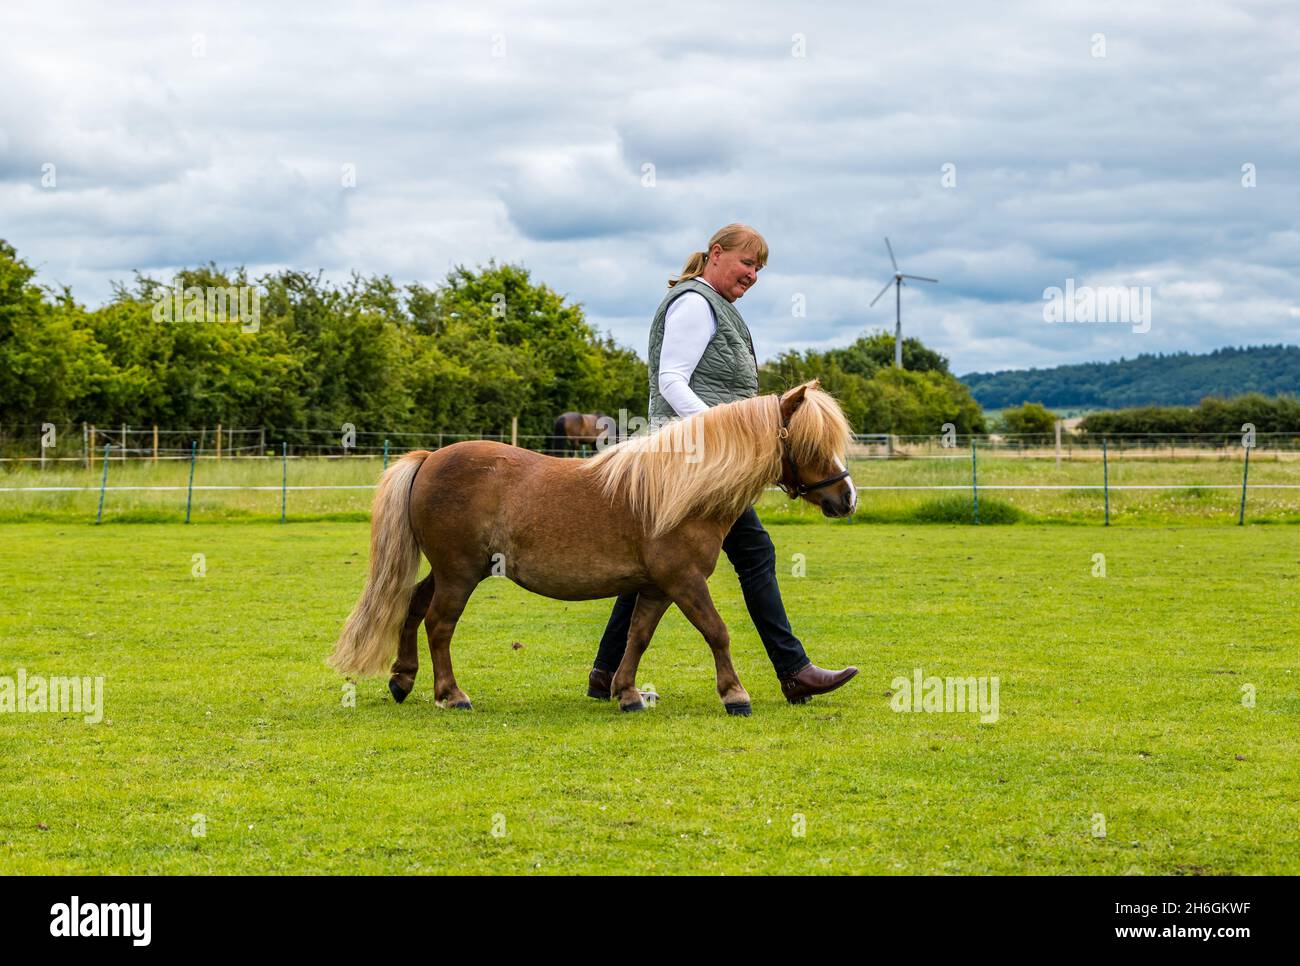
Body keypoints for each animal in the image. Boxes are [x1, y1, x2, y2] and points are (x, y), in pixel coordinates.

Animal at [327, 380, 857, 716]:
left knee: (413, 606)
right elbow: (717, 632)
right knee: (438, 624)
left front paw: (627, 694)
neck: (679, 491)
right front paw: (734, 695)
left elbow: (637, 637)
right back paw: (451, 694)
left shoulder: (658, 587)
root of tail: (430, 457)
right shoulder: (685, 582)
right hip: (460, 573)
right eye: (812, 444)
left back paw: (403, 679)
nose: (847, 498)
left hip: (449, 571)